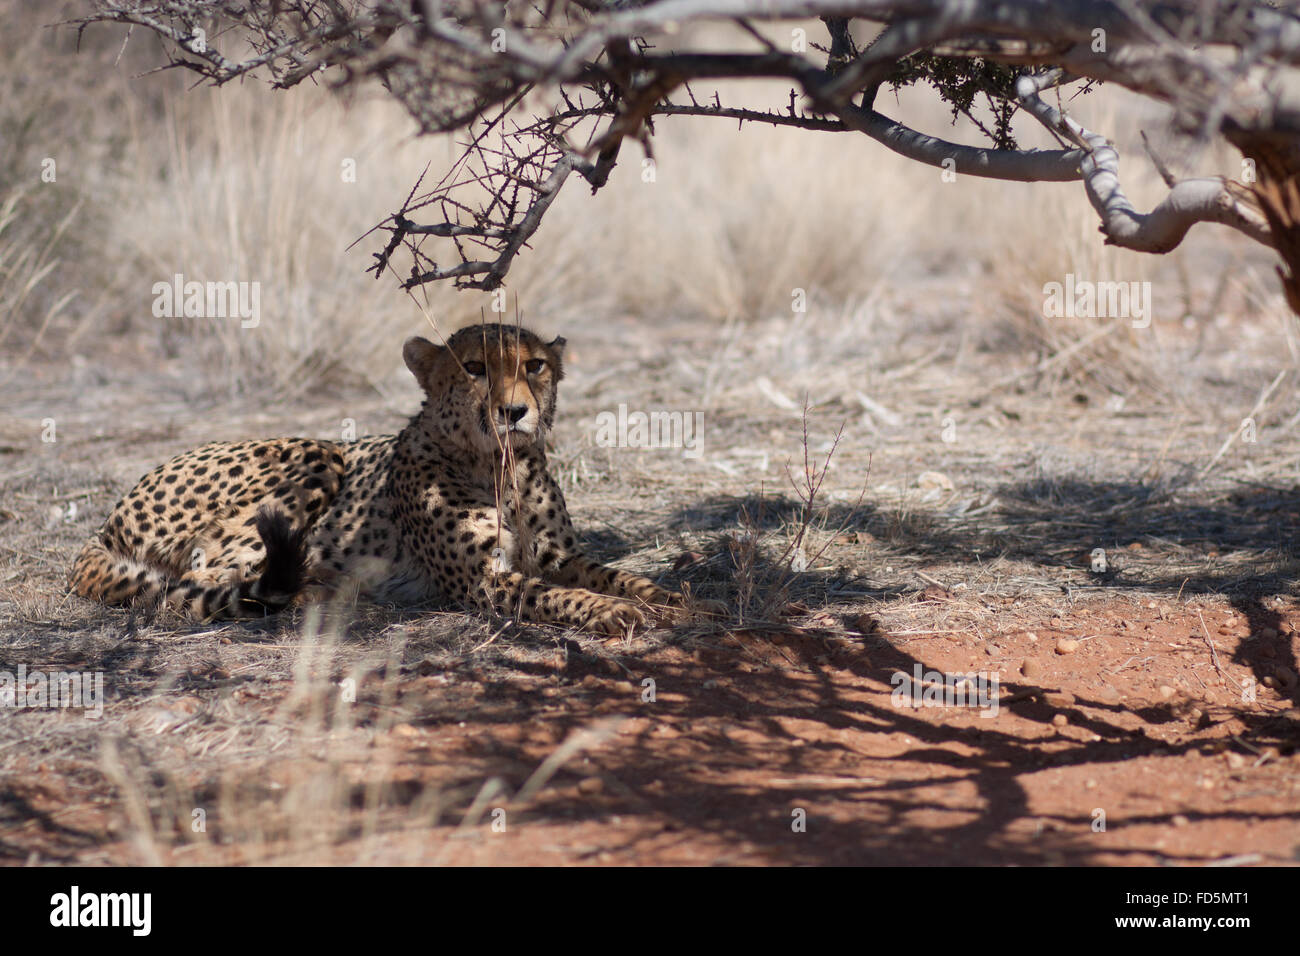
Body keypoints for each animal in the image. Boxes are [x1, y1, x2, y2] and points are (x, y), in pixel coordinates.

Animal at [68, 323, 689, 634]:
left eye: (534, 366)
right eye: (474, 368)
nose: (514, 412)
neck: (498, 466)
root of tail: (105, 523)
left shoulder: (559, 555)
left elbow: (616, 575)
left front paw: (670, 597)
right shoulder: (481, 580)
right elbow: (558, 595)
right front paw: (609, 612)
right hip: (316, 454)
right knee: (193, 585)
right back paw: (317, 595)